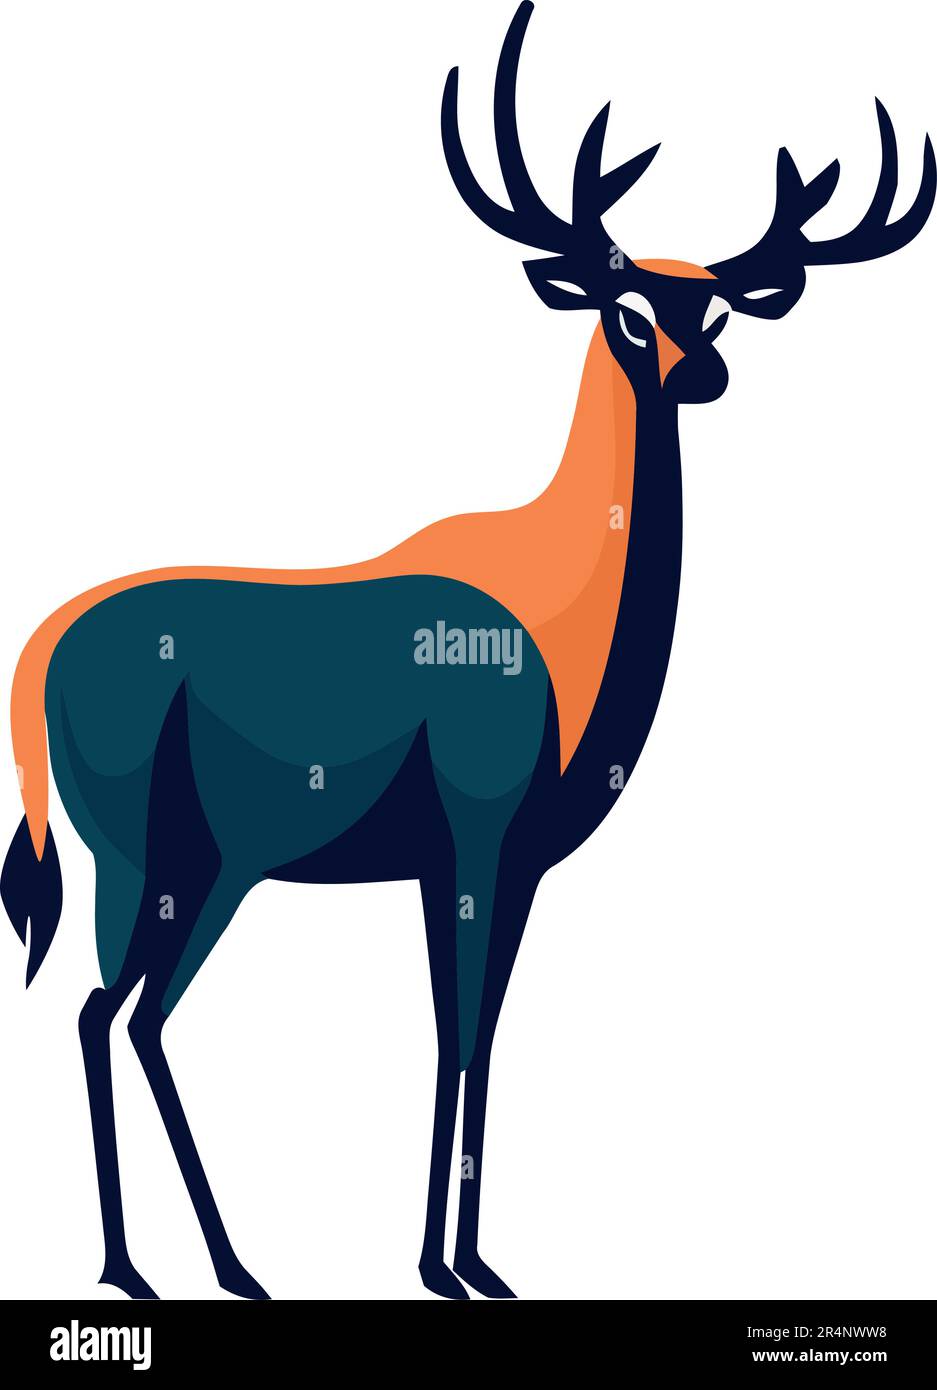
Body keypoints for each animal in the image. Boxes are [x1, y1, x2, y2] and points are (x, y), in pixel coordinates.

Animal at [2, 1, 933, 1302]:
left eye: (714, 308)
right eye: (625, 308)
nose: (704, 372)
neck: (569, 636)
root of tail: (33, 657)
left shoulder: (502, 858)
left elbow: (475, 1032)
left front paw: (470, 1261)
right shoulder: (480, 830)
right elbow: (456, 1030)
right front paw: (444, 1266)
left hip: (169, 863)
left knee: (120, 1014)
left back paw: (199, 1262)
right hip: (162, 854)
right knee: (114, 1012)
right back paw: (167, 1266)